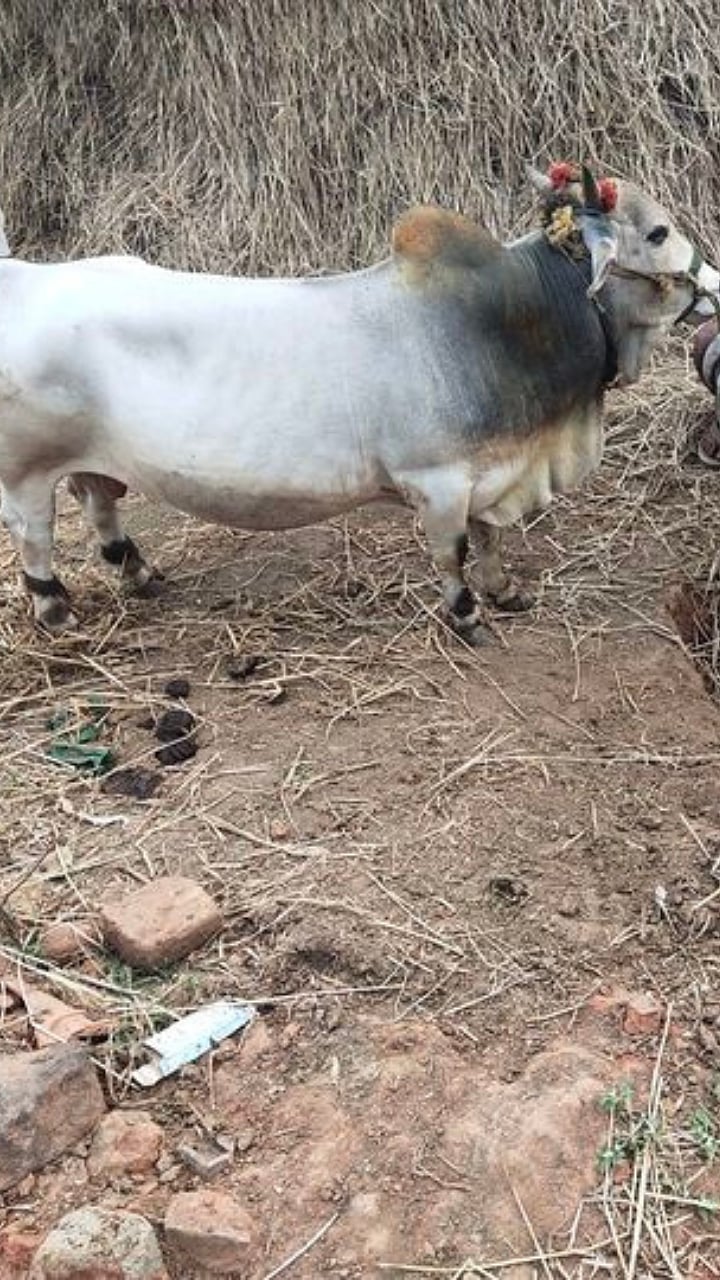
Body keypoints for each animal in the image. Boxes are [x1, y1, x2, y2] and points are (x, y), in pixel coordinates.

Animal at [1, 165, 718, 643]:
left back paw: (138, 572)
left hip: (92, 459)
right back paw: (55, 610)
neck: (505, 323)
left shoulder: (491, 471)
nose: (711, 283)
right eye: (658, 232)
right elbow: (452, 552)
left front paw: (505, 590)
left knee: (99, 503)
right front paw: (466, 614)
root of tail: (23, 277)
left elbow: (490, 537)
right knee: (36, 538)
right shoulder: (438, 482)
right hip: (26, 473)